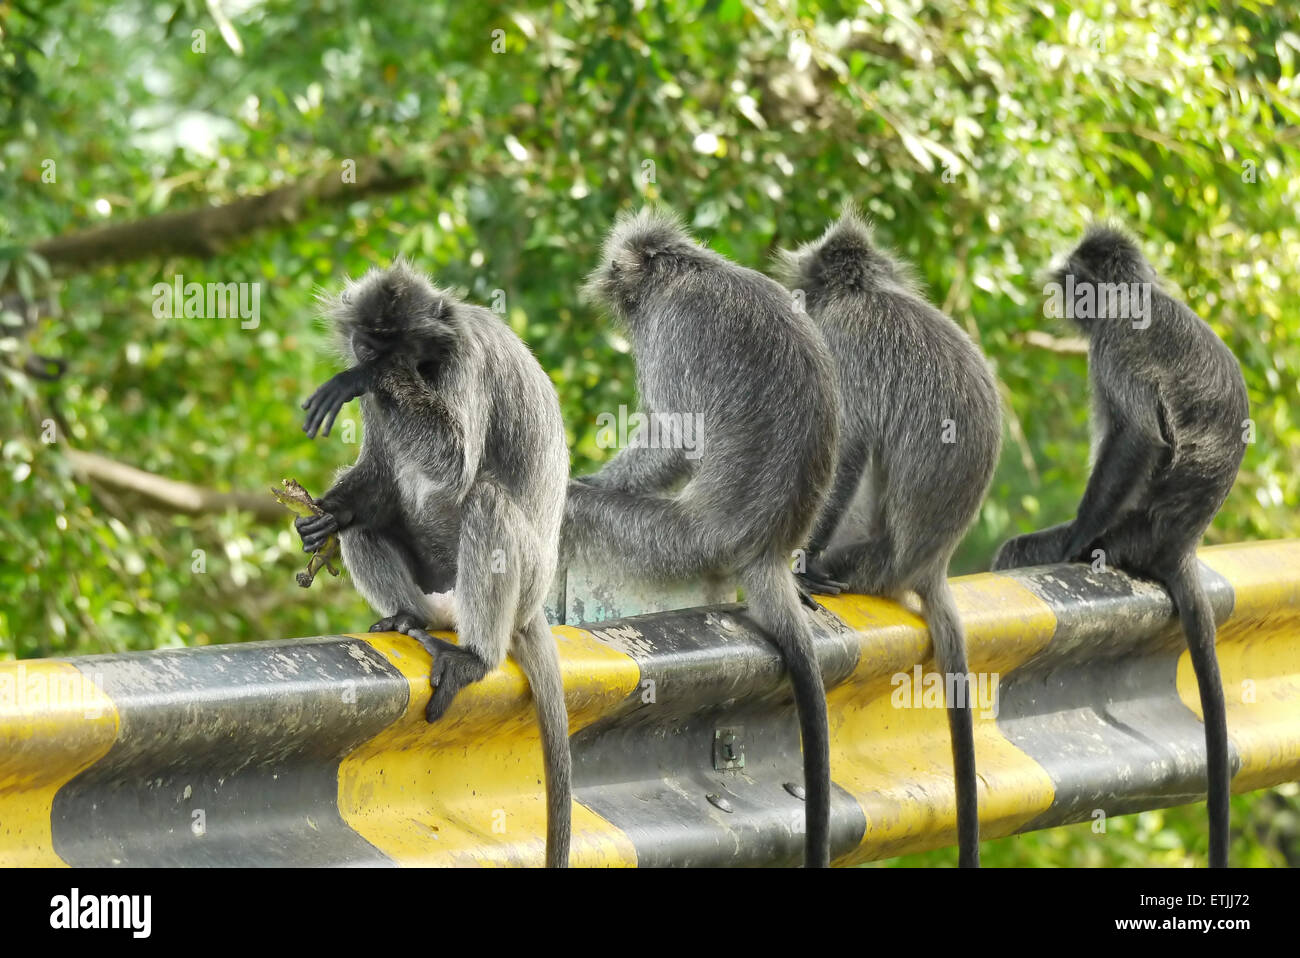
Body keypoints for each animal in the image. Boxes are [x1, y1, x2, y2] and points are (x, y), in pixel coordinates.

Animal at [295, 259, 573, 868]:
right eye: (368, 337)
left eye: (394, 344)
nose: (371, 357)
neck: (427, 365)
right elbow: (374, 481)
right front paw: (331, 512)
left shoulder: (466, 352)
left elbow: (454, 460)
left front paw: (363, 379)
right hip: (434, 582)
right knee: (370, 521)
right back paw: (406, 615)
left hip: (521, 578)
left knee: (485, 495)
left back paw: (475, 656)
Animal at [562, 208, 841, 867]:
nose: (610, 291)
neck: (690, 269)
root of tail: (768, 547)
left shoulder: (667, 329)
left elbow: (671, 439)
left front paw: (585, 481)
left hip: (681, 540)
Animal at [992, 226, 1247, 868]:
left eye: (1076, 279)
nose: (1061, 288)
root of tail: (1180, 545)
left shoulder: (1115, 342)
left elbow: (1139, 435)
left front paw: (1073, 538)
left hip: (1133, 532)